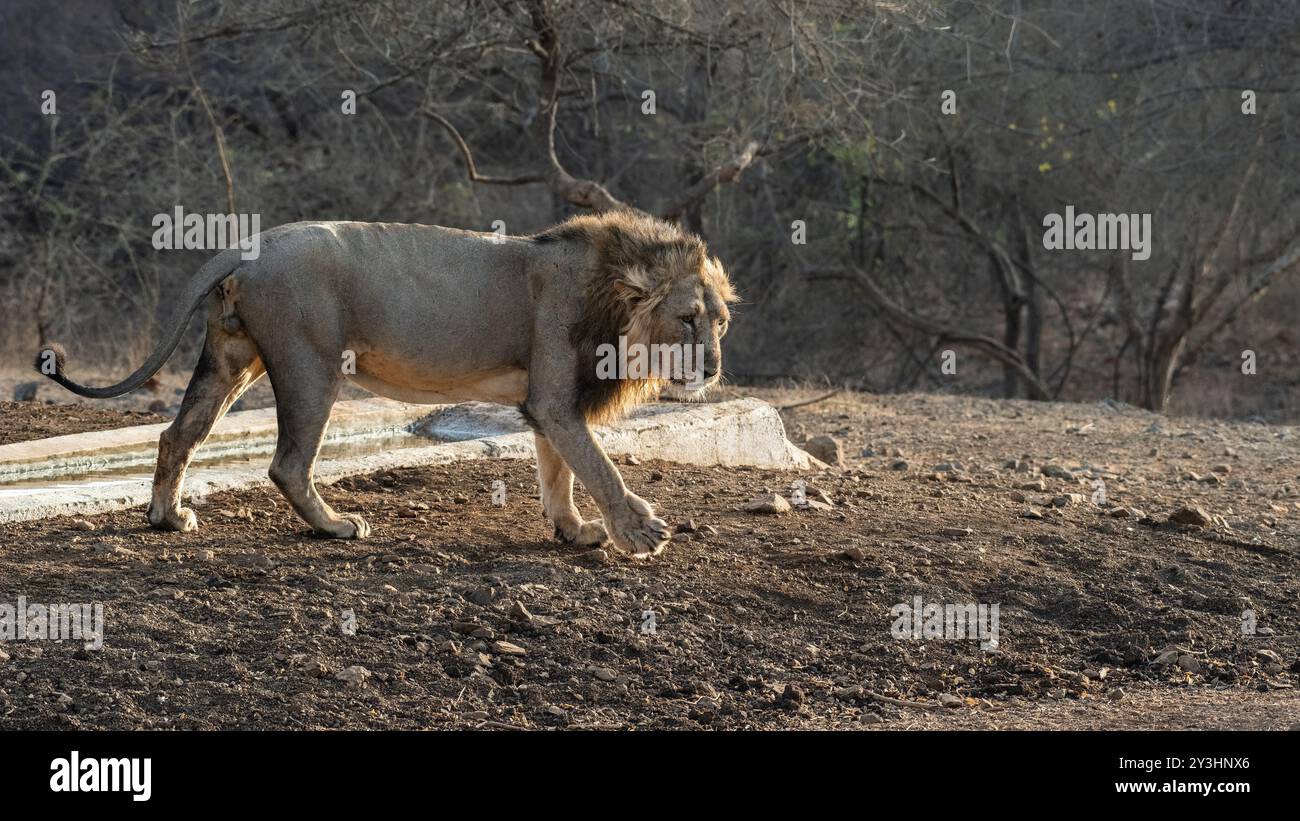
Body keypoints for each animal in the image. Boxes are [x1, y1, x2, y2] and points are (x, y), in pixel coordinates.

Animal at [38, 210, 738, 558]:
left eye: (721, 322)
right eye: (687, 319)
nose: (711, 368)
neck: (617, 296)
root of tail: (247, 244)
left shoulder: (549, 402)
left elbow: (560, 471)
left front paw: (574, 530)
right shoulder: (554, 399)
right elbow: (598, 466)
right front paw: (639, 532)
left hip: (230, 359)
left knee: (176, 434)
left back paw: (166, 518)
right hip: (310, 364)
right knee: (288, 463)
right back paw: (335, 527)